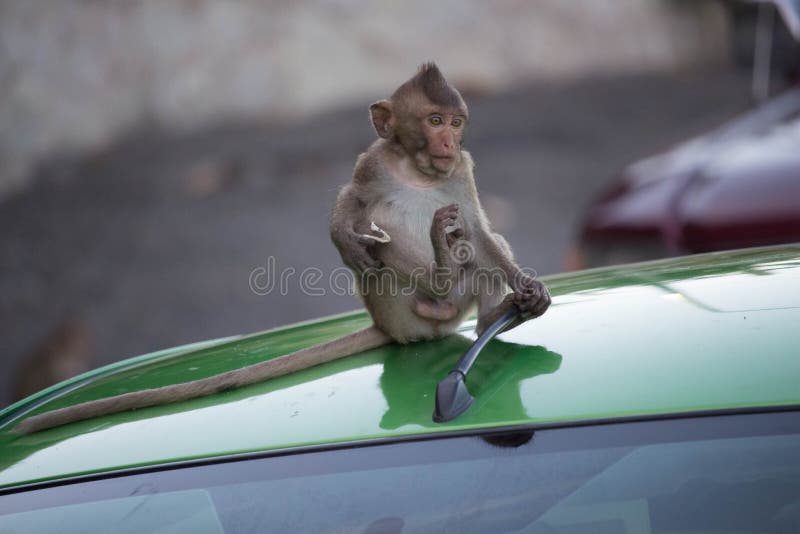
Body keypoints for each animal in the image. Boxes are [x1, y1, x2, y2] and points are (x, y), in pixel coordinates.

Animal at [14, 63, 550, 435]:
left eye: (457, 123)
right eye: (435, 119)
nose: (448, 141)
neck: (419, 171)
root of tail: (399, 330)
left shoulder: (461, 170)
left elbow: (481, 230)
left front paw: (529, 289)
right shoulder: (374, 161)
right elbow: (354, 201)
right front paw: (343, 235)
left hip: (451, 308)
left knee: (472, 255)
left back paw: (486, 311)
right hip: (399, 311)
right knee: (379, 251)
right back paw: (436, 271)